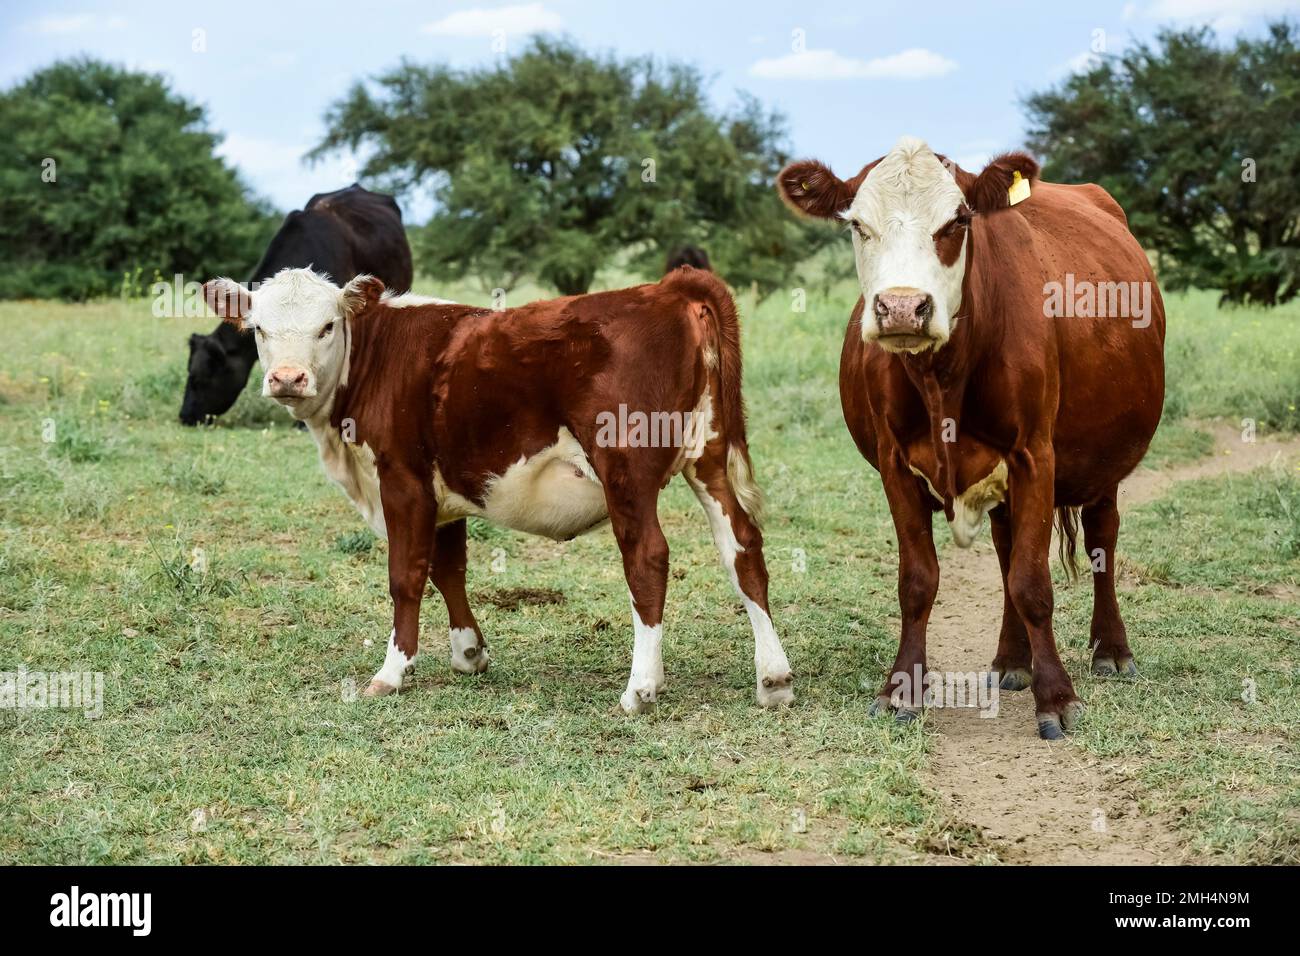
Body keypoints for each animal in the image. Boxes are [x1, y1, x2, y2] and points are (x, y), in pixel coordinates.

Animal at [199, 266, 794, 713]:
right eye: (258, 328)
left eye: (327, 326)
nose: (288, 378)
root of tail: (668, 287)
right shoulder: (443, 491)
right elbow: (449, 570)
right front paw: (468, 653)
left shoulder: (402, 481)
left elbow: (406, 577)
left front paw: (392, 672)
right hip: (708, 460)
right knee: (742, 548)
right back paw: (773, 678)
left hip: (625, 471)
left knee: (647, 558)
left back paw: (640, 688)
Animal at [777, 136, 1165, 739]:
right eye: (858, 225)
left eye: (957, 221)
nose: (902, 307)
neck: (942, 379)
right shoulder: (895, 464)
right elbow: (920, 581)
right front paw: (901, 689)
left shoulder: (1036, 455)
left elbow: (1033, 583)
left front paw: (1057, 696)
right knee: (1007, 549)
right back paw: (1011, 660)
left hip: (1105, 461)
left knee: (1102, 537)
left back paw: (1110, 648)